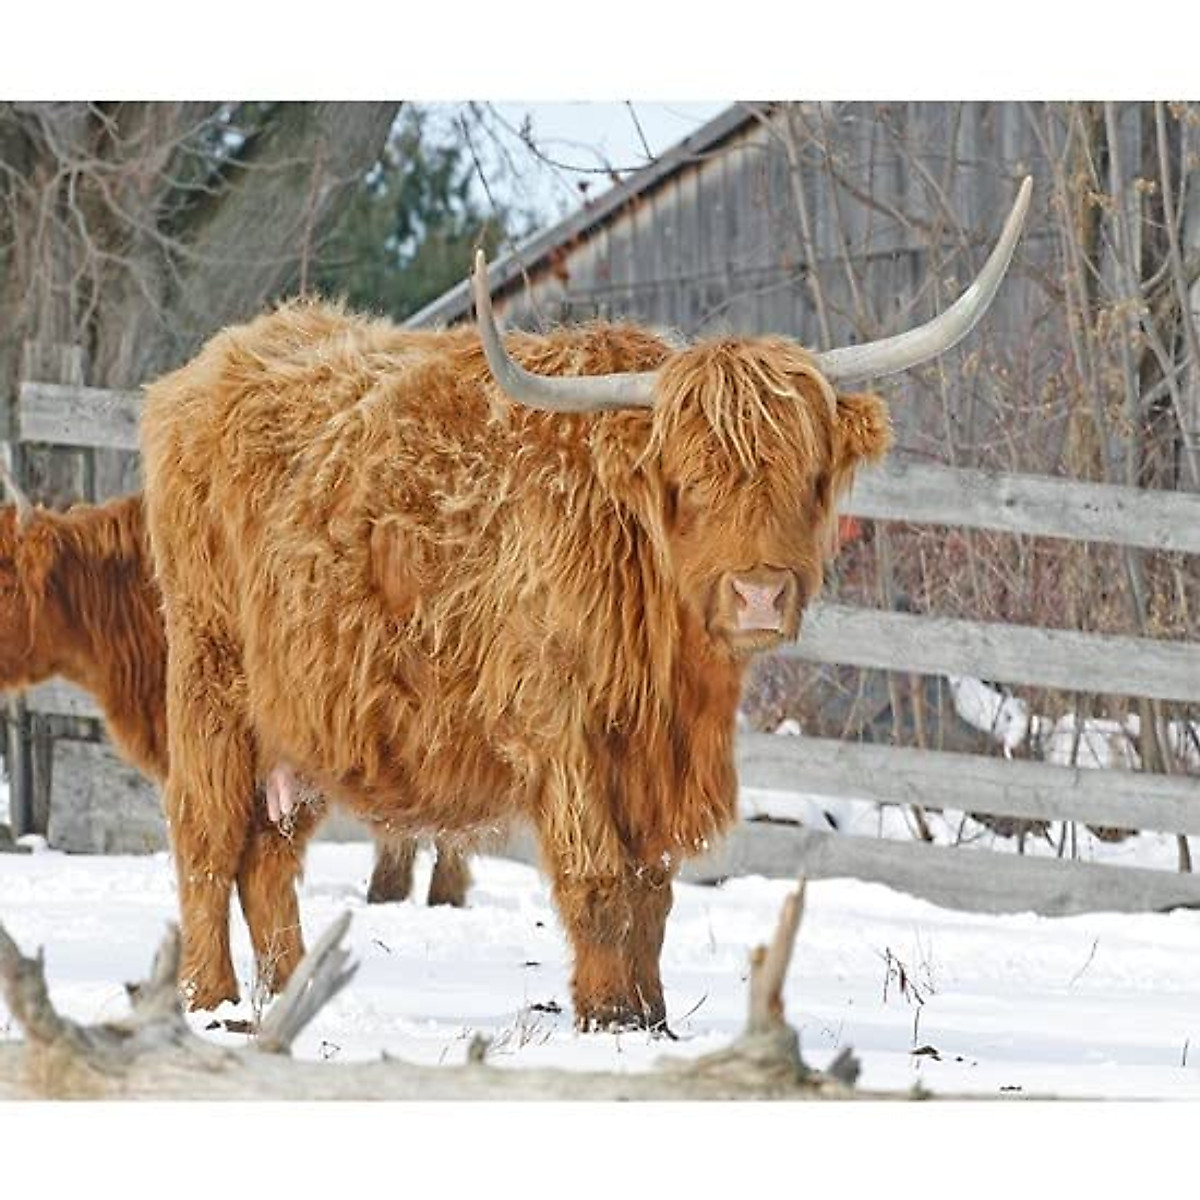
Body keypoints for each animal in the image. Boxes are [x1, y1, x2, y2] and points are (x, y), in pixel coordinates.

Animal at [141, 179, 1030, 1028]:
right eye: (690, 480)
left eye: (807, 474)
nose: (759, 593)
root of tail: (206, 369)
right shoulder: (562, 730)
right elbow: (601, 882)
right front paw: (607, 1015)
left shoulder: (653, 758)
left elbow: (653, 893)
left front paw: (651, 1014)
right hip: (211, 681)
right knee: (205, 840)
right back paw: (210, 1000)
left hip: (299, 720)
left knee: (267, 856)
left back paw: (291, 996)